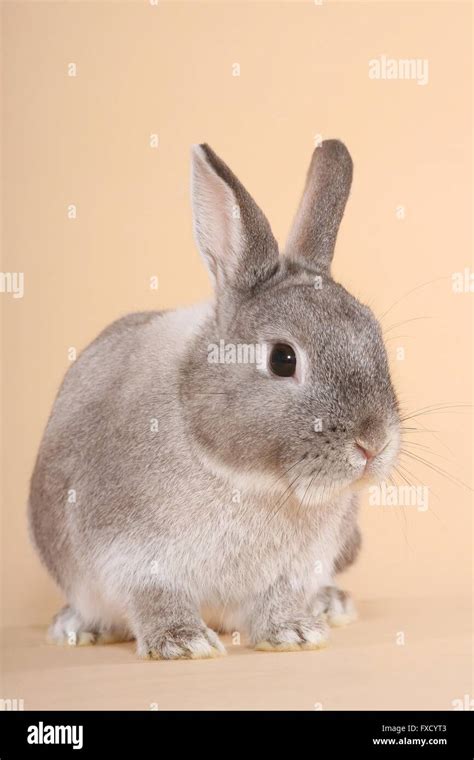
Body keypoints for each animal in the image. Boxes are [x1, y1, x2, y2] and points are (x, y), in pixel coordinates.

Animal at [28, 140, 400, 659]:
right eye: (282, 359)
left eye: (374, 334)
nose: (373, 443)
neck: (251, 480)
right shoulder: (130, 556)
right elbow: (154, 598)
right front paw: (182, 643)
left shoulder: (294, 567)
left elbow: (277, 600)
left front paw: (294, 633)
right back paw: (79, 628)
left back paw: (330, 605)